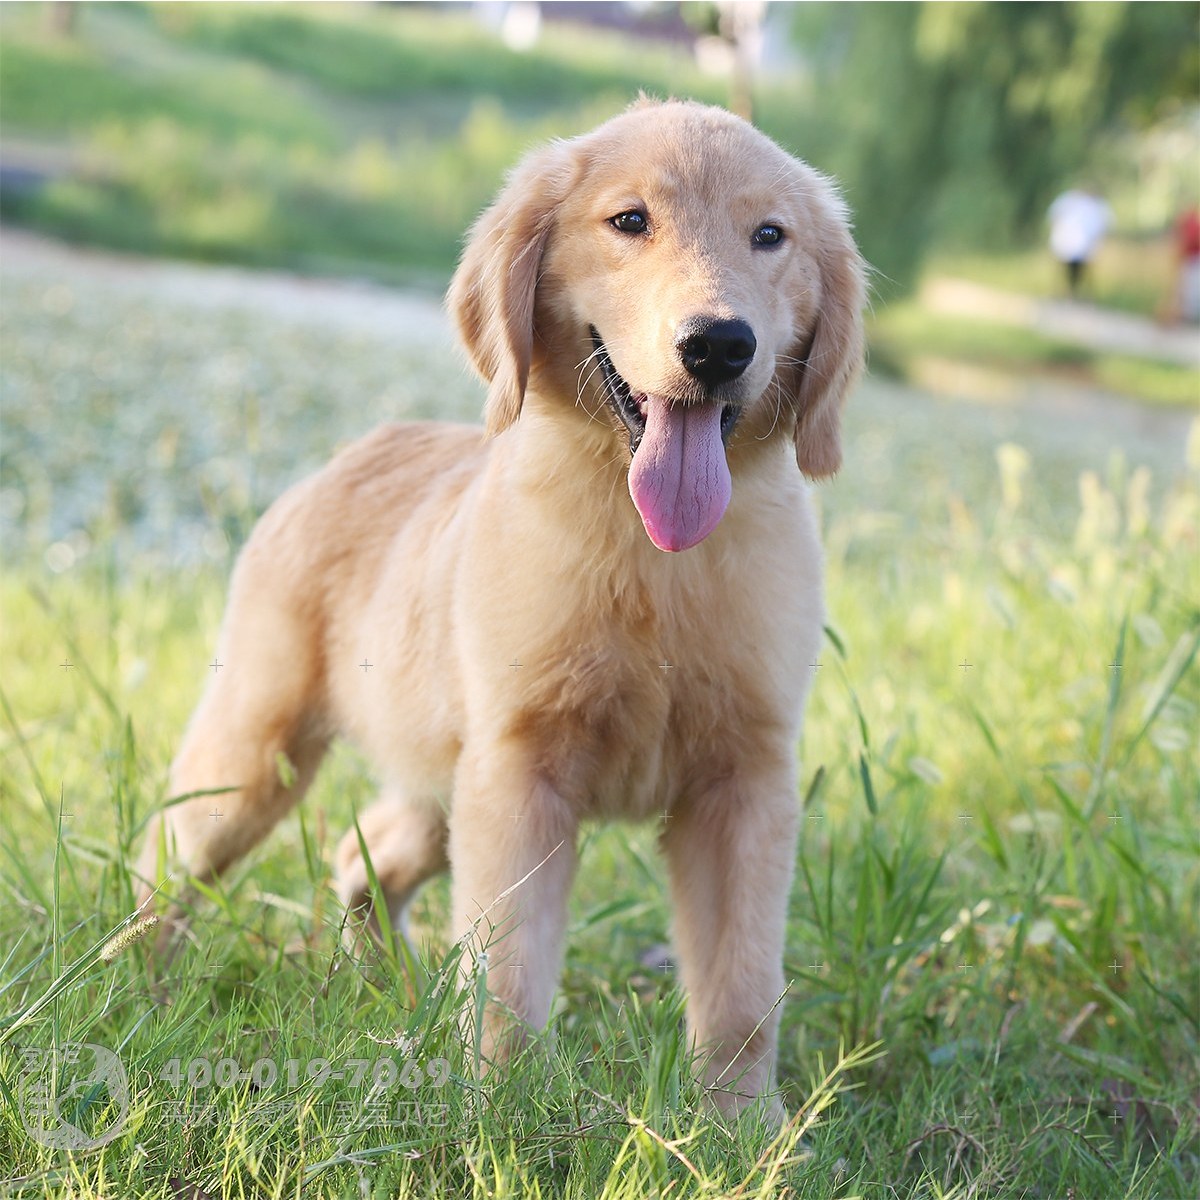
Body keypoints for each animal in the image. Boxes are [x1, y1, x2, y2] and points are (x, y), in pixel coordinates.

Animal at [138, 98, 864, 1118]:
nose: (720, 345)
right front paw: (500, 1116)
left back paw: (381, 983)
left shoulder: (745, 782)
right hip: (260, 746)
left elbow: (741, 993)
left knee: (364, 853)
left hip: (440, 780)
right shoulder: (521, 774)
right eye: (629, 221)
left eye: (770, 236)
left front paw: (744, 1130)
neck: (651, 560)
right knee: (167, 850)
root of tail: (359, 447)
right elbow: (510, 971)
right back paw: (133, 978)